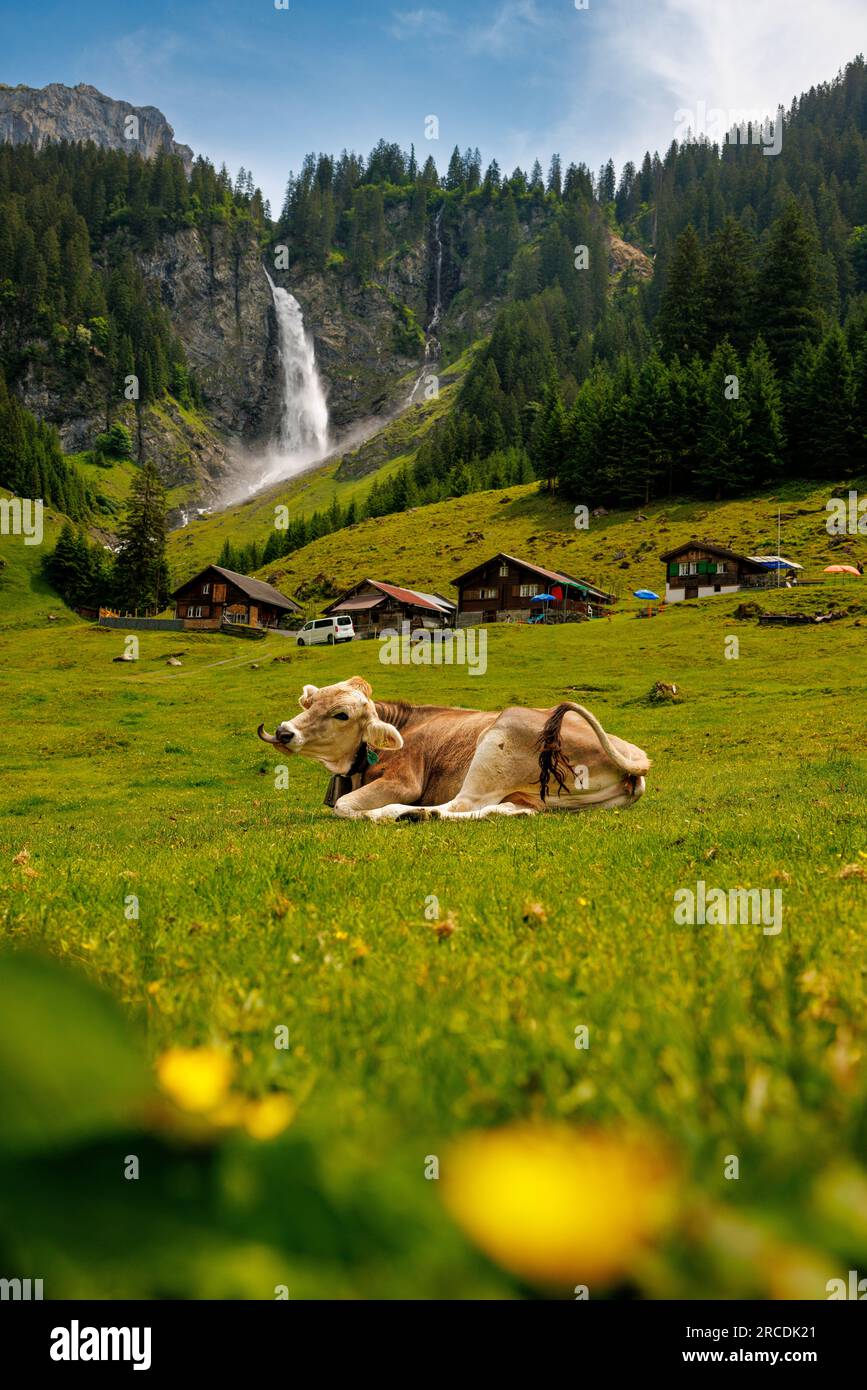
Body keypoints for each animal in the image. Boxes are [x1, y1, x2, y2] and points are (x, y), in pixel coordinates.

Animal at [257, 678, 649, 823]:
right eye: (311, 703)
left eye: (342, 714)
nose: (284, 731)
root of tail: (634, 762)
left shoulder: (405, 781)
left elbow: (343, 806)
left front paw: (373, 812)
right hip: (538, 795)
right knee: (504, 808)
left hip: (495, 743)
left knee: (460, 804)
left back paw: (405, 814)